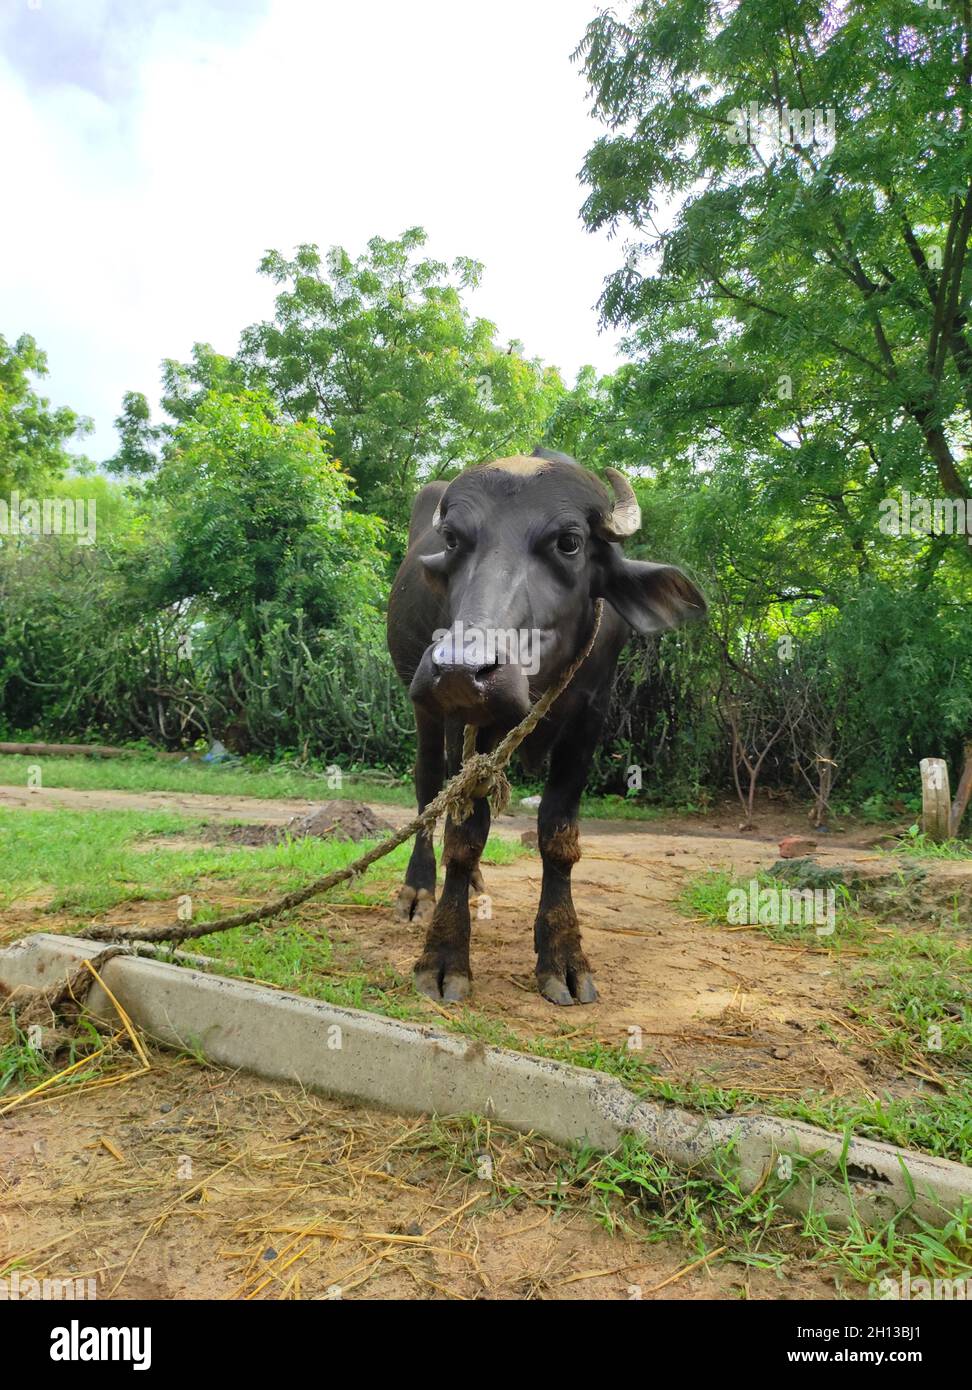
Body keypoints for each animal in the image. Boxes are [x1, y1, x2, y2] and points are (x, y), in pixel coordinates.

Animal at [386, 448, 705, 1006]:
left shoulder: (590, 719)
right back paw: (419, 891)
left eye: (569, 542)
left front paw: (564, 957)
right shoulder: (463, 721)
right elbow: (464, 834)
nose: (460, 670)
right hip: (424, 708)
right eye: (453, 539)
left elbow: (558, 834)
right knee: (429, 788)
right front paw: (444, 957)